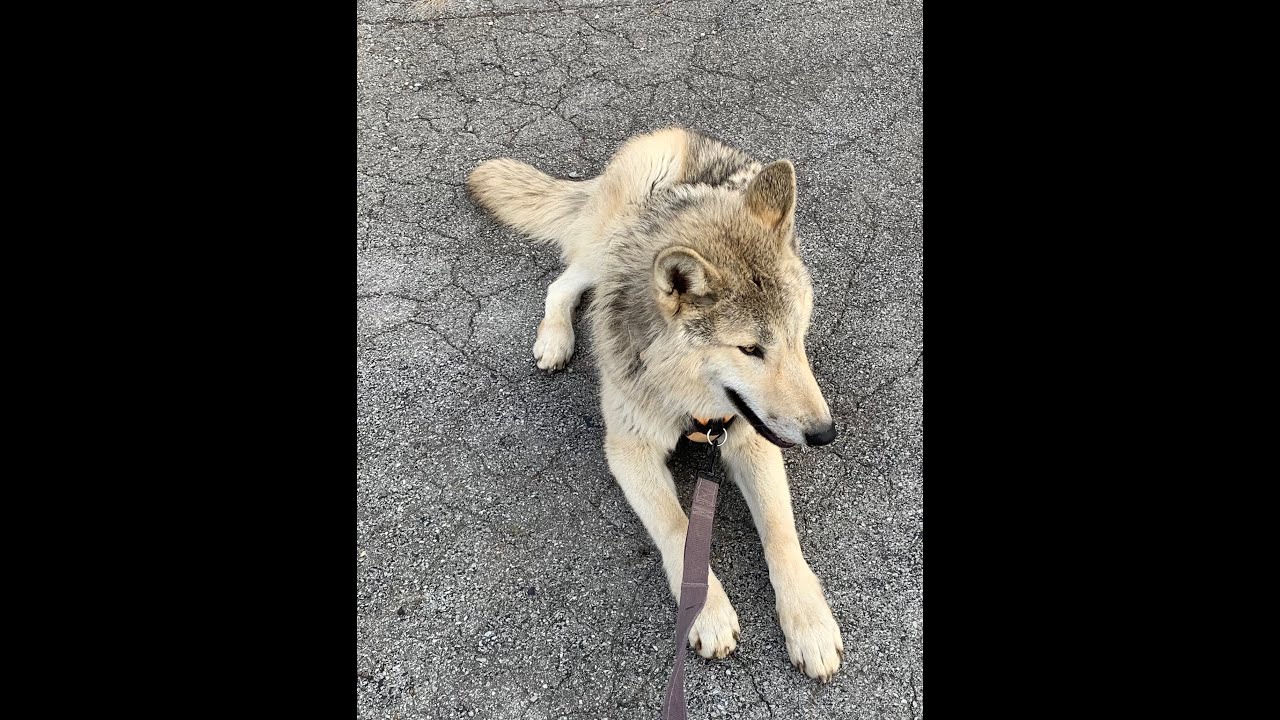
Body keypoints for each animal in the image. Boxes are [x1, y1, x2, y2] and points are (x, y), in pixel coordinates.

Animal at [467, 128, 843, 682]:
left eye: (797, 337)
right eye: (750, 349)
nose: (824, 434)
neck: (689, 401)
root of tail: (676, 134)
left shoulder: (751, 439)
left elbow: (780, 533)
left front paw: (809, 621)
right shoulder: (630, 451)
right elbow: (678, 527)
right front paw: (708, 611)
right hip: (605, 247)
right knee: (565, 282)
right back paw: (555, 339)